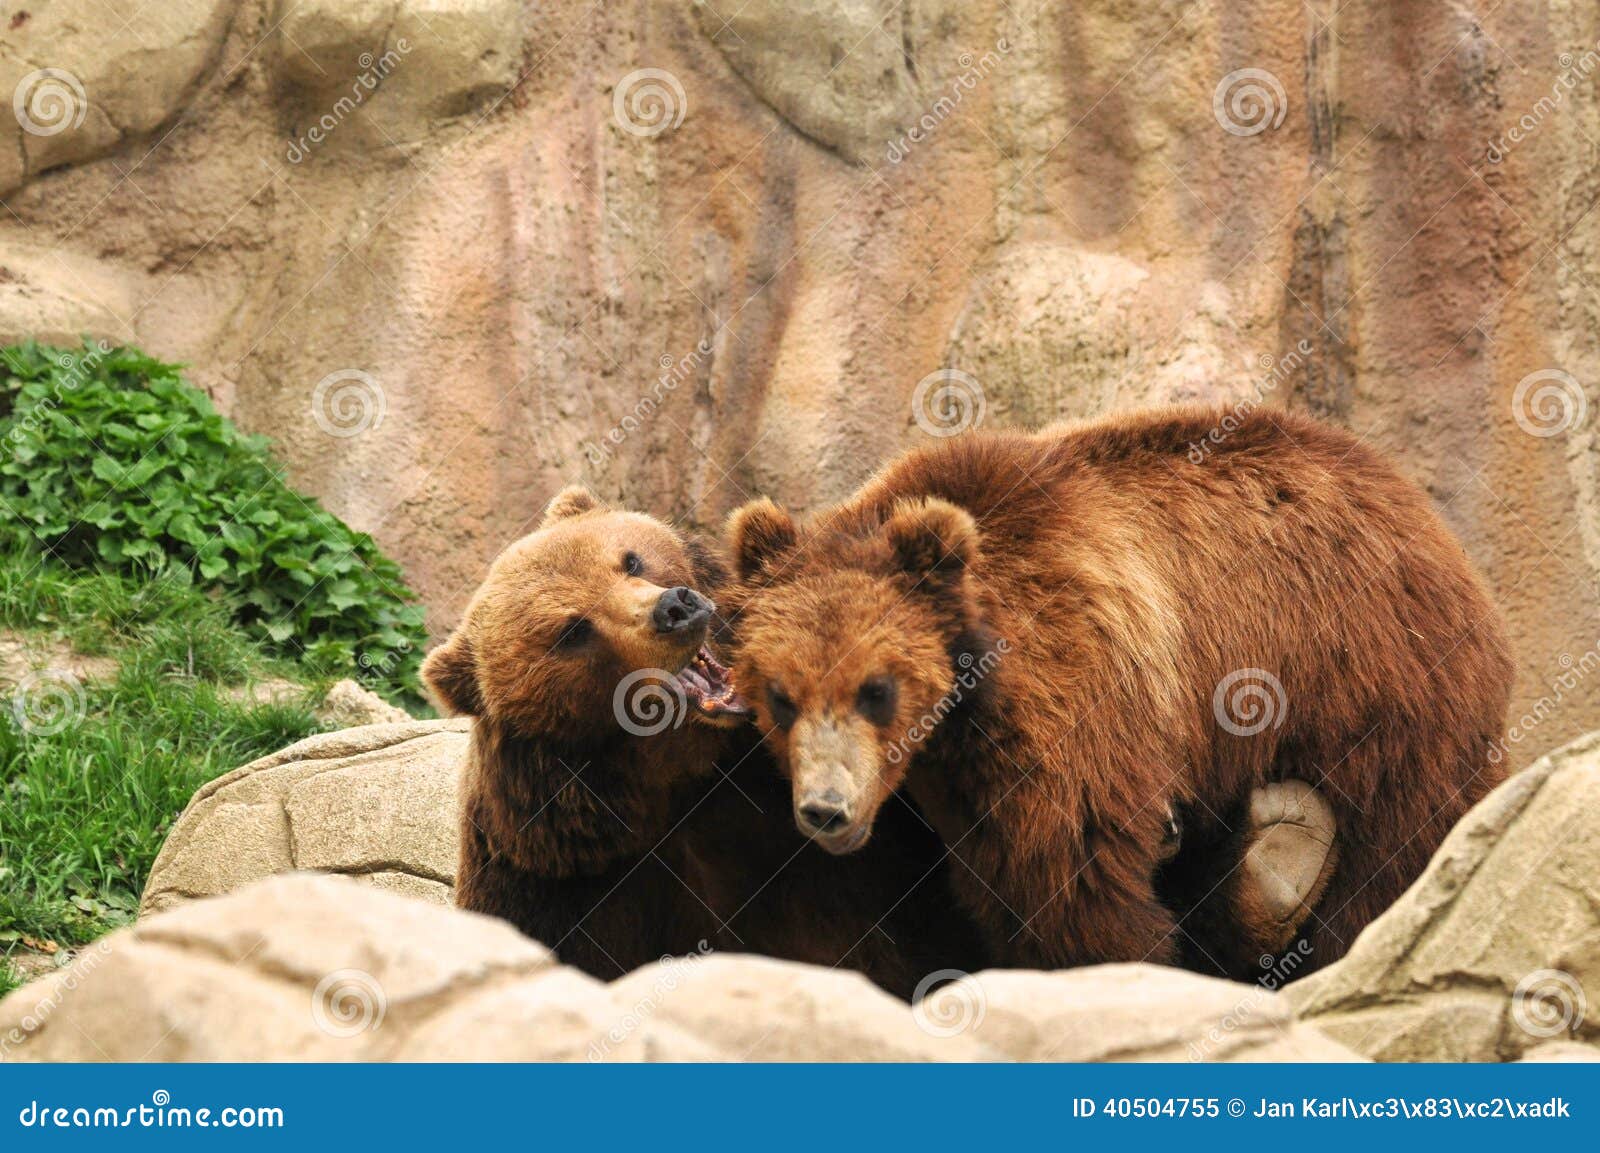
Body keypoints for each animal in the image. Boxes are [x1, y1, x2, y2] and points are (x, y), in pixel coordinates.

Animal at [721, 404, 1512, 980]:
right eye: (781, 696)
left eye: (876, 690)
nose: (826, 809)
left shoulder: (1073, 692)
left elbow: (1066, 876)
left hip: (1372, 682)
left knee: (1398, 843)